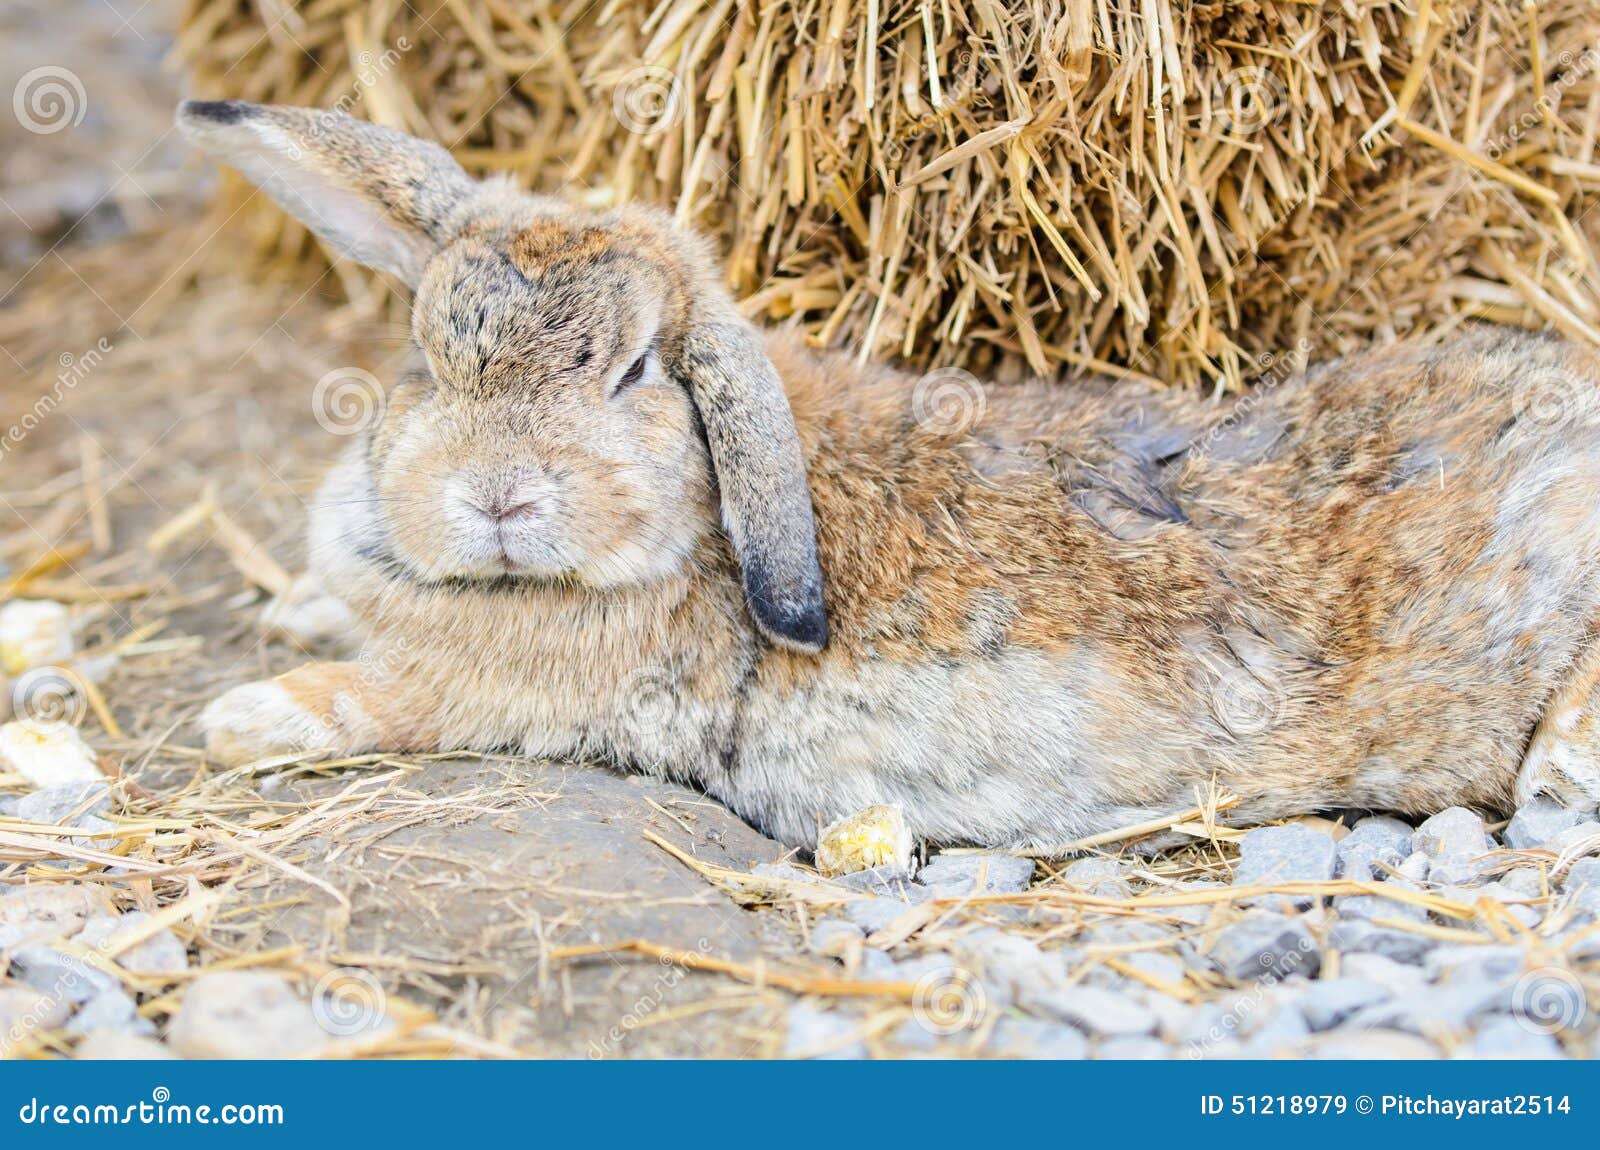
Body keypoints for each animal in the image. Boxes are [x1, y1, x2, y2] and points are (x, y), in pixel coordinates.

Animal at [180, 99, 1600, 852]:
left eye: (636, 372)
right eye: (427, 357)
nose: (499, 498)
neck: (705, 518)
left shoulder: (502, 696)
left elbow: (381, 698)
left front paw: (242, 716)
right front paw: (291, 608)